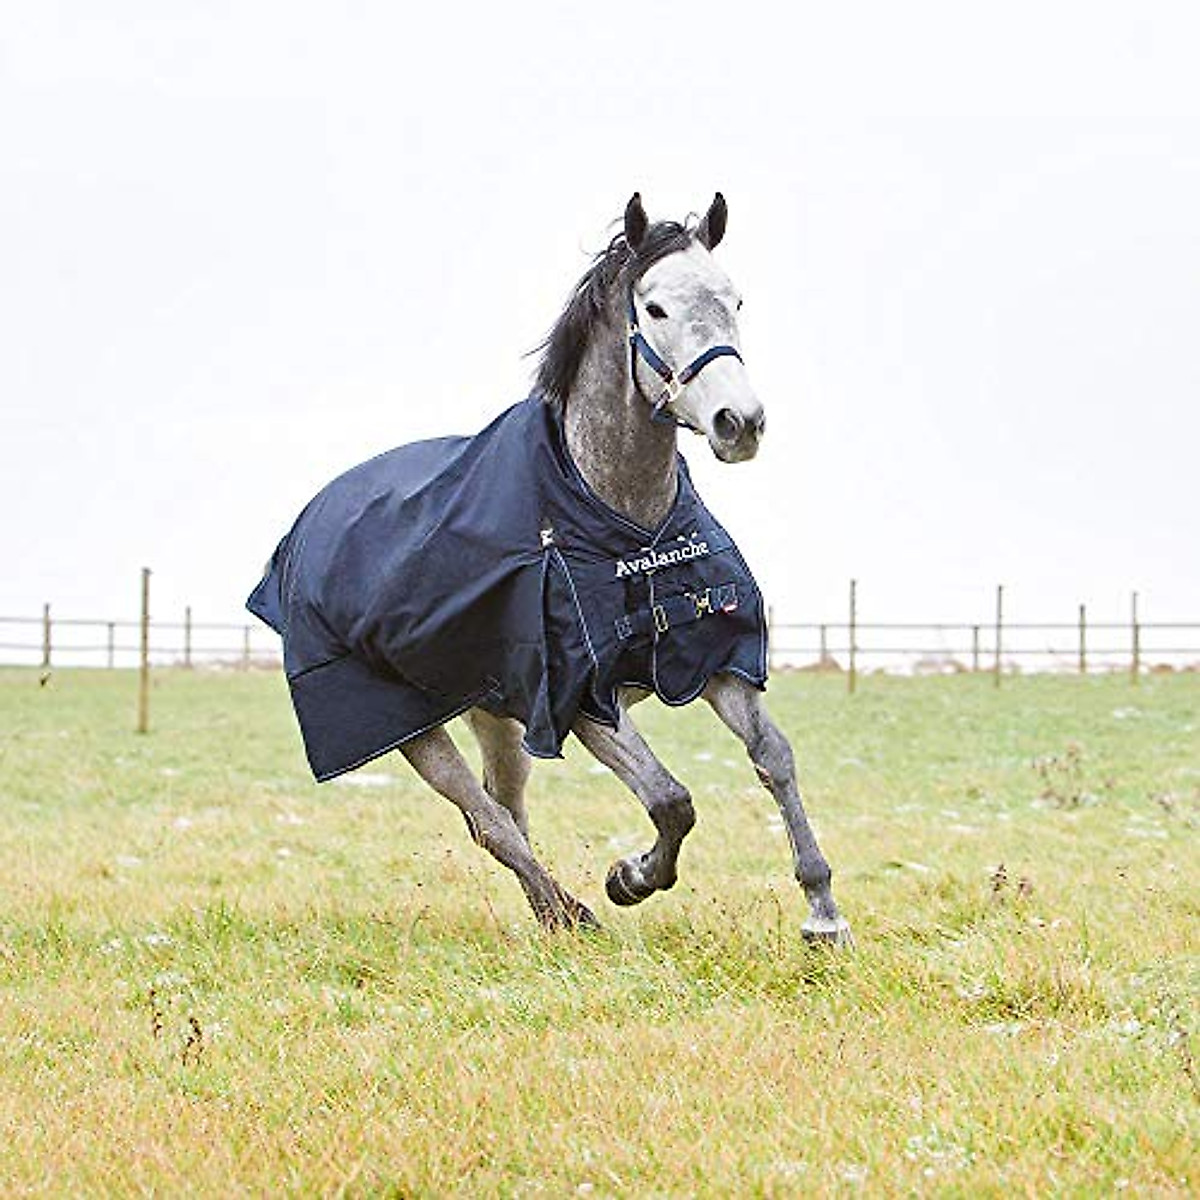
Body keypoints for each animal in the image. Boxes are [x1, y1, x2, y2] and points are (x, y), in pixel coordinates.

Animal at [248, 193, 850, 944]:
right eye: (655, 308)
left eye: (735, 299)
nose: (739, 422)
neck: (617, 518)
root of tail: (312, 520)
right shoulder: (583, 699)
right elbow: (671, 799)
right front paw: (631, 878)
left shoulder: (708, 657)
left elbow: (774, 757)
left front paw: (823, 911)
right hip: (411, 728)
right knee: (487, 820)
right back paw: (572, 912)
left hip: (494, 716)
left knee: (505, 811)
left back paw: (550, 916)